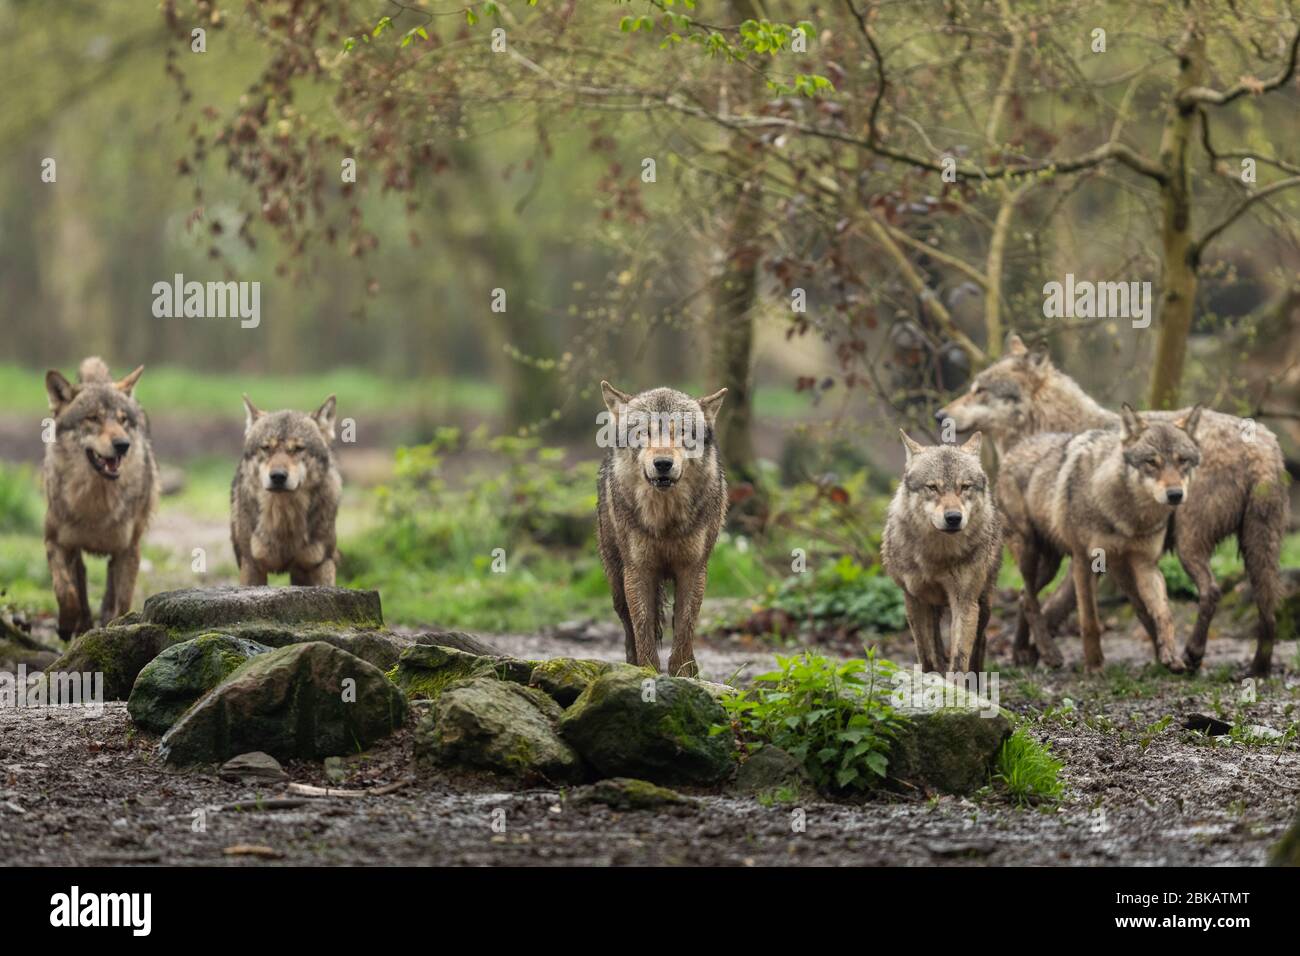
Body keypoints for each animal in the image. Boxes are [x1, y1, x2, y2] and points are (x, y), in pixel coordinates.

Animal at [43, 358, 159, 640]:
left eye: (122, 420)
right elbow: (66, 591)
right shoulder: (54, 542)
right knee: (81, 581)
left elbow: (122, 603)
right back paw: (81, 624)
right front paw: (65, 625)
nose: (123, 445)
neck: (96, 504)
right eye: (93, 418)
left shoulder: (129, 550)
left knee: (108, 589)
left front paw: (116, 629)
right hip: (75, 550)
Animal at [231, 395, 342, 586]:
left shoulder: (323, 562)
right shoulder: (251, 565)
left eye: (297, 448)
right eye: (266, 448)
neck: (284, 518)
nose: (278, 476)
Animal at [596, 382, 727, 677]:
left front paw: (684, 674)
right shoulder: (638, 571)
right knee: (628, 626)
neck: (665, 521)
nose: (663, 464)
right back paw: (630, 663)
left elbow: (684, 630)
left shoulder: (693, 570)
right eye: (643, 433)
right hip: (616, 582)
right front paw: (646, 673)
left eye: (682, 433)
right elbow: (643, 629)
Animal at [880, 432, 1001, 674]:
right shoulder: (914, 599)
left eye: (964, 487)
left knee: (980, 642)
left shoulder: (964, 602)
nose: (953, 517)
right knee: (935, 644)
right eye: (933, 487)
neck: (937, 555)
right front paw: (929, 678)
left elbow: (959, 658)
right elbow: (925, 652)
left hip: (984, 604)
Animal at [999, 406, 1202, 672]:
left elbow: (1162, 612)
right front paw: (1094, 665)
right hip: (1030, 553)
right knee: (1031, 600)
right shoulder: (1085, 561)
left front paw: (1170, 656)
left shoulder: (1144, 564)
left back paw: (1022, 653)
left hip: (1050, 565)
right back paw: (1049, 653)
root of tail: (1015, 448)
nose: (1175, 494)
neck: (1128, 515)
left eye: (1182, 461)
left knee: (1024, 596)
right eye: (1151, 462)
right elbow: (1090, 621)